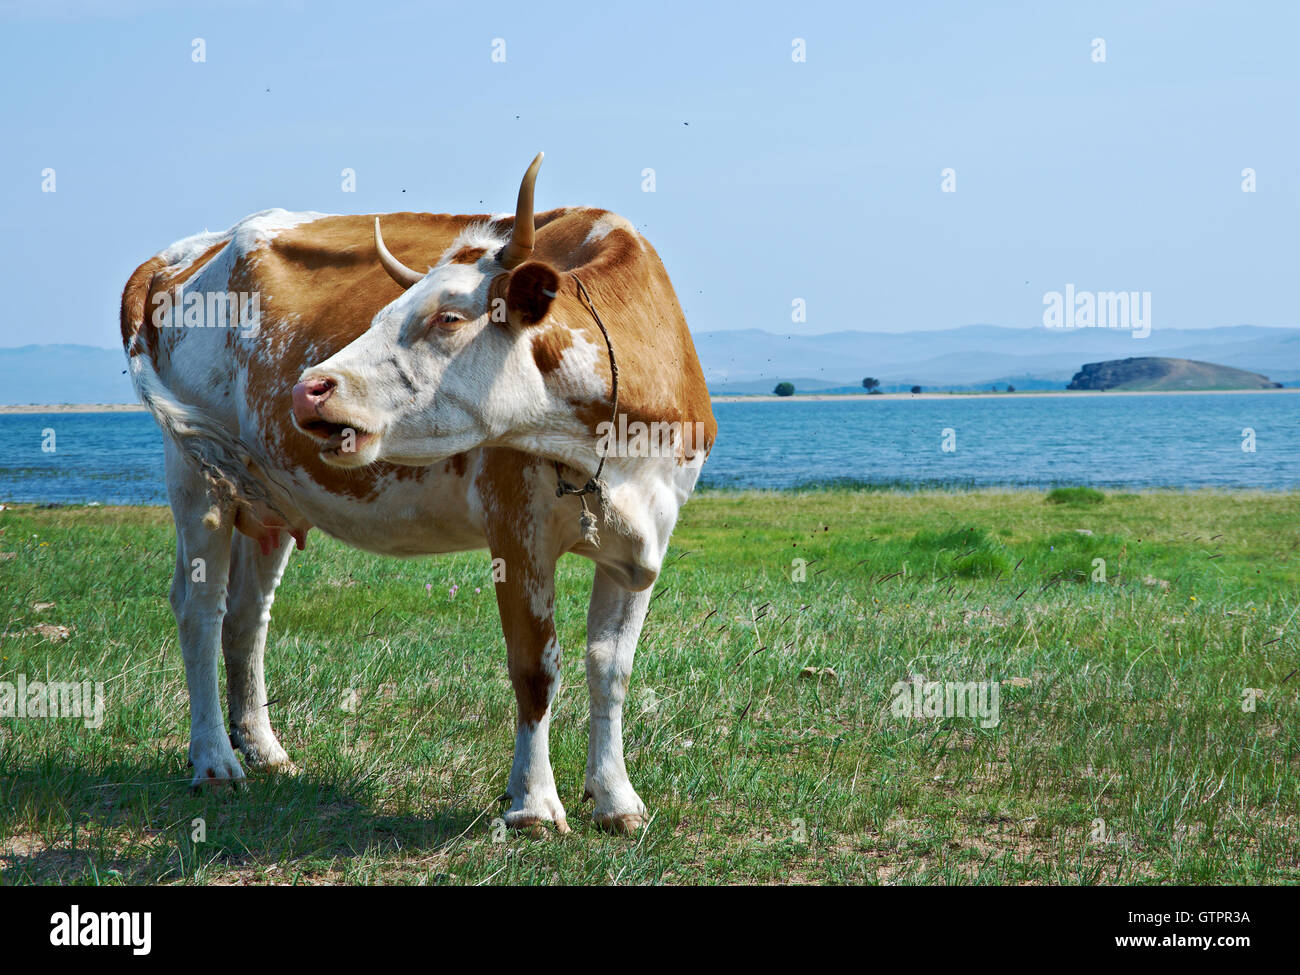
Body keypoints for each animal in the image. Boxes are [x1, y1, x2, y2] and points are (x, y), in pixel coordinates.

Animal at [120, 153, 716, 833]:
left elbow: (610, 667)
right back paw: (215, 761)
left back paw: (266, 751)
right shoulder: (516, 528)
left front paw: (617, 799)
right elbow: (536, 667)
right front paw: (533, 805)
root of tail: (188, 249)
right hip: (198, 477)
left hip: (266, 494)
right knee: (200, 609)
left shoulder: (644, 541)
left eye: (449, 317)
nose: (307, 388)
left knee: (248, 616)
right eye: (383, 313)